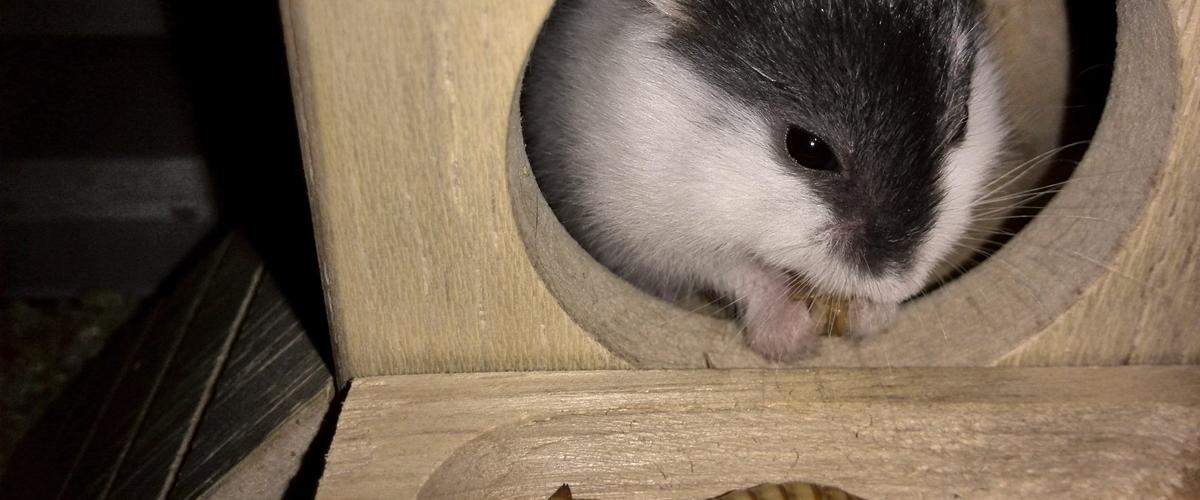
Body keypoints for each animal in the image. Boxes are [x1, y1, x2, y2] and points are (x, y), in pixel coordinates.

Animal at [521, 0, 1009, 361]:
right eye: (807, 147)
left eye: (962, 122)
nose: (898, 282)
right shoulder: (651, 229)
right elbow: (737, 268)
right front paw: (794, 343)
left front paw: (870, 317)